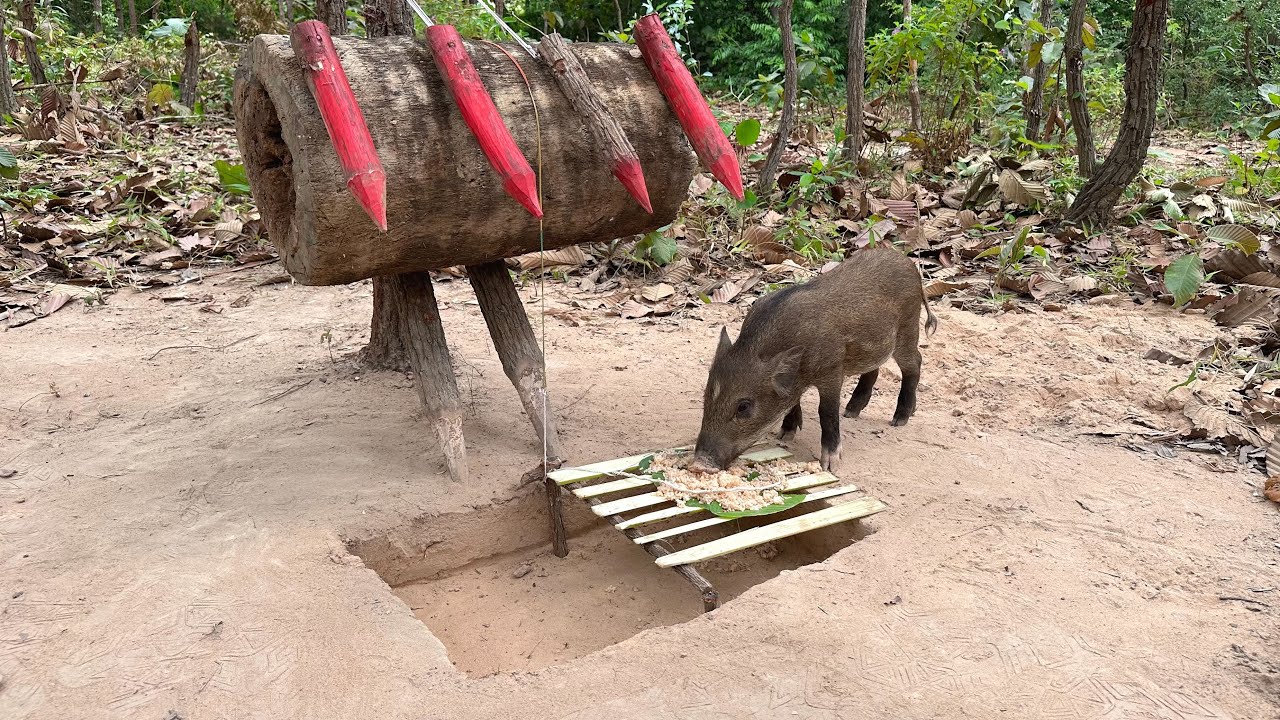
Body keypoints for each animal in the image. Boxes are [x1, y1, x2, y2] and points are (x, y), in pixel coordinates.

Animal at [691, 247, 938, 473]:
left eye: (743, 407)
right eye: (706, 395)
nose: (699, 465)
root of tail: (911, 267)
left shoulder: (831, 370)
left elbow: (826, 413)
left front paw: (830, 466)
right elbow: (794, 402)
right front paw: (785, 435)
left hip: (907, 331)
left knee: (915, 363)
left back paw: (899, 419)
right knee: (874, 369)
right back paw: (852, 411)